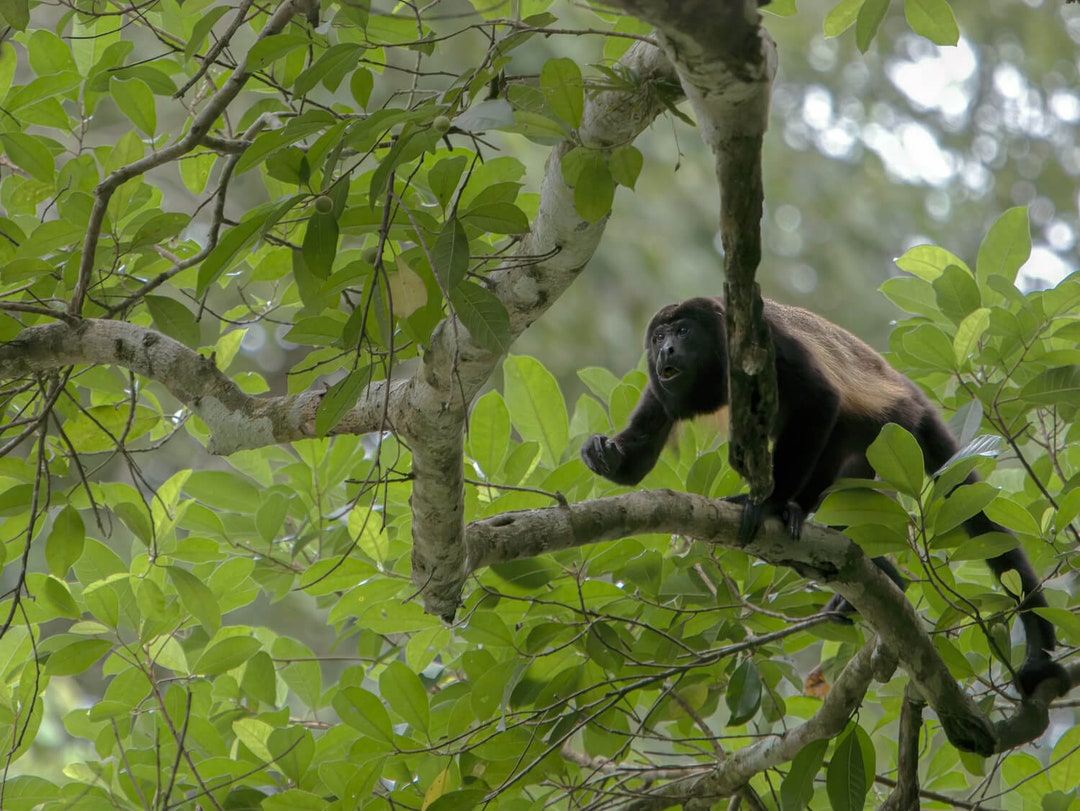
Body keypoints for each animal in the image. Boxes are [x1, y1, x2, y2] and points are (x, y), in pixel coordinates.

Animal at [581, 296, 1069, 699]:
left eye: (683, 332)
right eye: (658, 337)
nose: (665, 350)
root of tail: (913, 395)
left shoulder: (766, 343)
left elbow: (819, 396)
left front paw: (770, 505)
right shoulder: (661, 385)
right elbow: (642, 452)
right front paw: (604, 454)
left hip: (894, 427)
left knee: (831, 434)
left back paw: (794, 510)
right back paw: (882, 575)